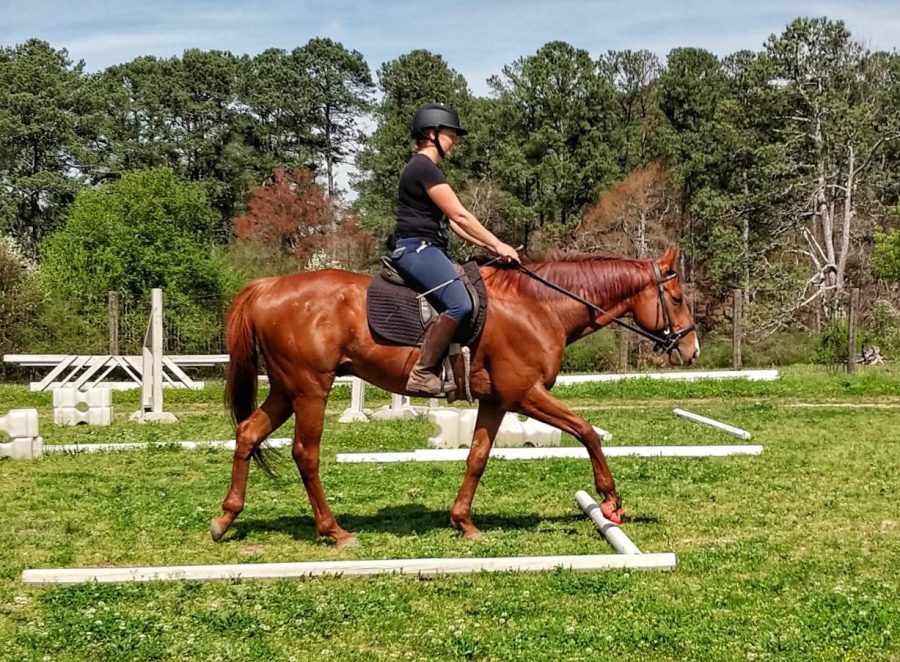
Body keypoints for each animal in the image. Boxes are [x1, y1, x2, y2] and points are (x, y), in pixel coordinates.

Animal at [210, 245, 699, 546]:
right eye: (675, 298)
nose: (691, 350)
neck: (539, 306)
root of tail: (267, 286)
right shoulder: (525, 394)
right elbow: (587, 432)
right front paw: (611, 502)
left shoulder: (497, 401)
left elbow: (477, 457)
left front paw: (464, 522)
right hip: (312, 388)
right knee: (305, 452)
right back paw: (334, 531)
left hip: (287, 389)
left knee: (249, 433)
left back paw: (225, 518)